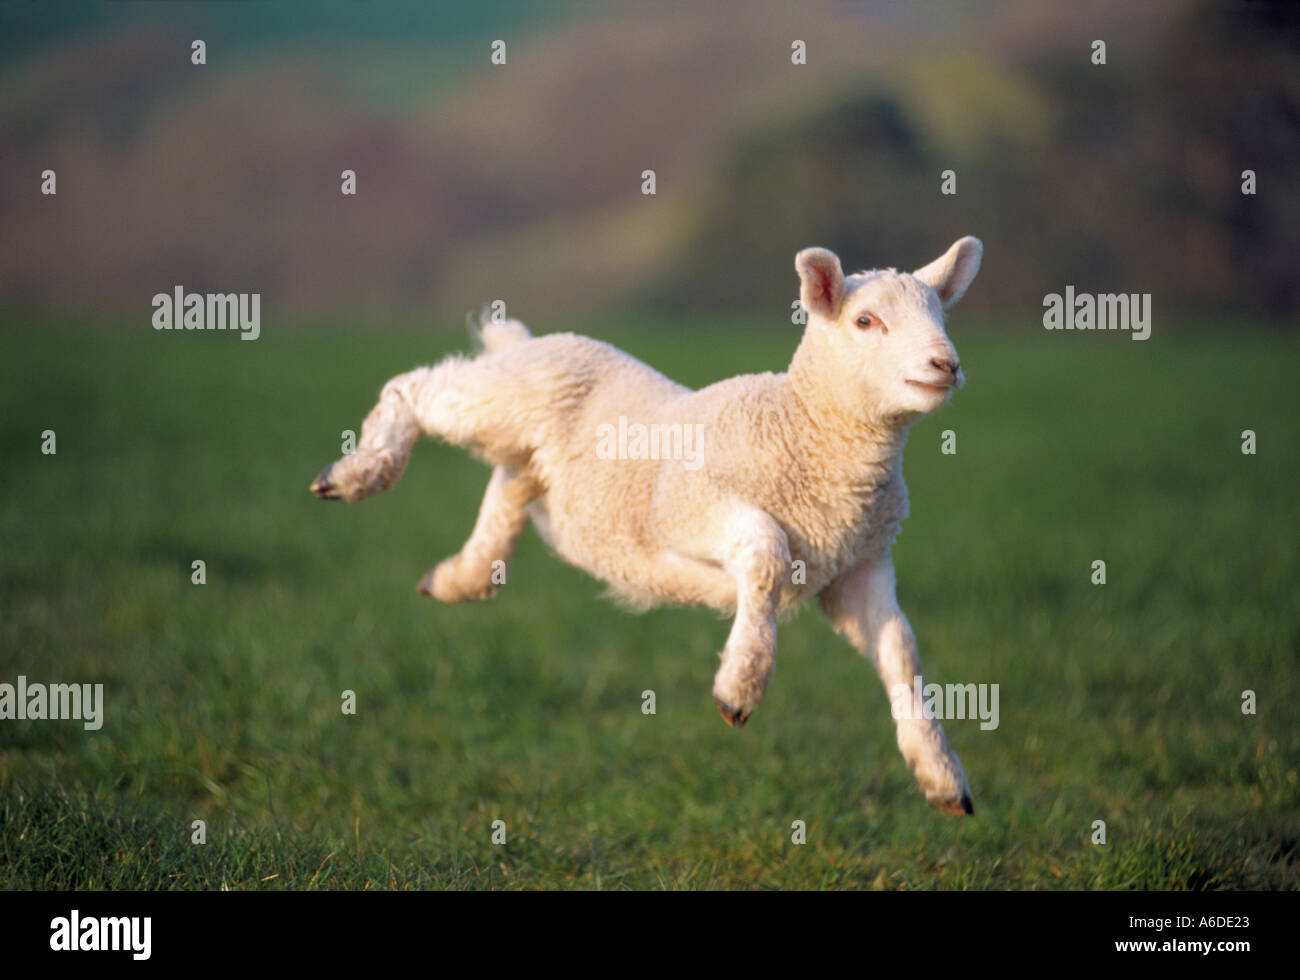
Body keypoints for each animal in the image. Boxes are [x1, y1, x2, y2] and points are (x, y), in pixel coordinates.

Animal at [310, 237, 983, 815]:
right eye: (866, 321)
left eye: (941, 314)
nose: (946, 364)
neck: (809, 433)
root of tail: (531, 340)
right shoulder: (686, 505)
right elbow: (766, 552)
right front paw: (740, 684)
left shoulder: (856, 568)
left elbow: (901, 650)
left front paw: (942, 775)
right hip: (510, 396)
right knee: (414, 389)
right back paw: (360, 472)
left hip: (534, 455)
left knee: (509, 485)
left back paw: (462, 575)